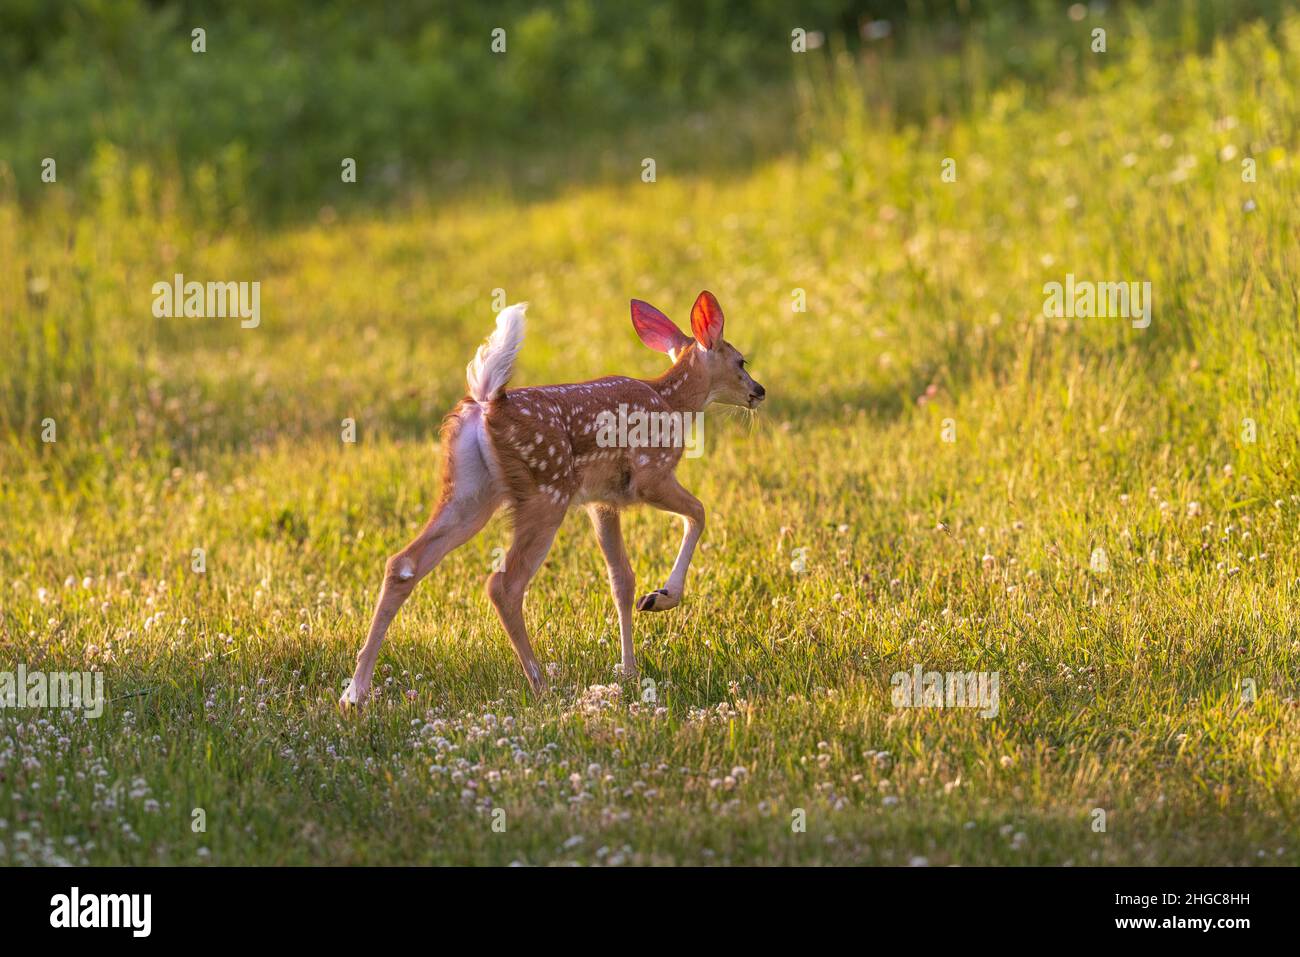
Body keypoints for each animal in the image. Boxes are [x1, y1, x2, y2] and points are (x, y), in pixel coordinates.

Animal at [340, 291, 765, 708]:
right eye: (741, 360)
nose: (758, 391)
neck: (672, 402)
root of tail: (487, 400)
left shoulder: (602, 501)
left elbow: (621, 580)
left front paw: (629, 669)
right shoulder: (650, 475)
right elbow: (699, 513)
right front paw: (661, 598)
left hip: (469, 493)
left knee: (402, 563)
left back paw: (354, 693)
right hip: (546, 492)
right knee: (503, 585)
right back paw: (542, 685)